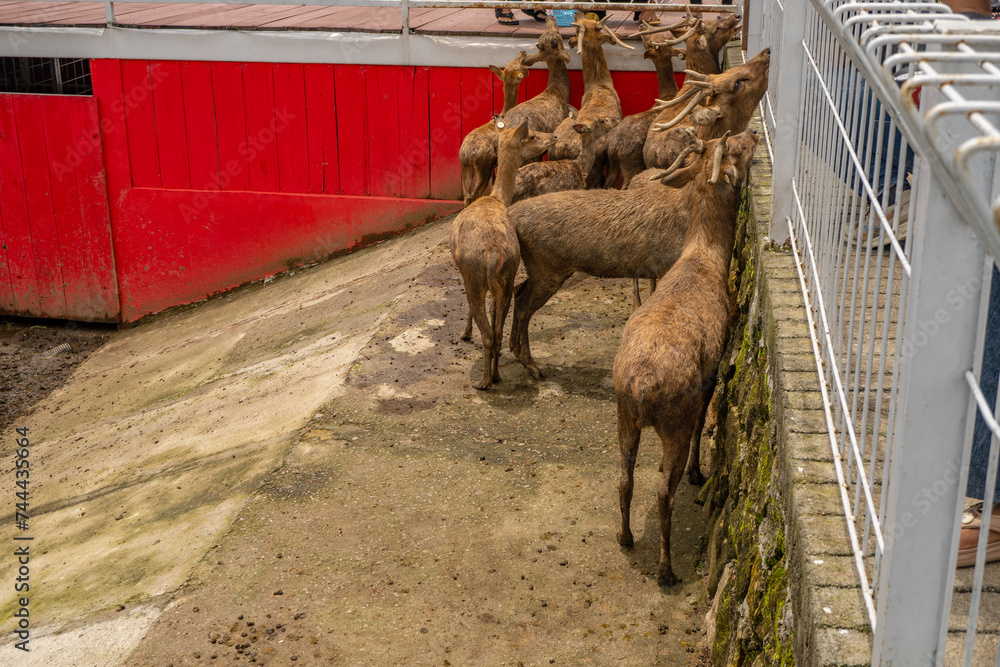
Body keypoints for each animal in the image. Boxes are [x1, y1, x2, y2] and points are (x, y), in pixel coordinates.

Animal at [451, 118, 552, 390]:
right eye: (533, 136)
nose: (554, 136)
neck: (496, 198)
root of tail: (491, 256)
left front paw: (464, 333)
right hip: (508, 275)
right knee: (497, 330)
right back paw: (497, 375)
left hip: (474, 277)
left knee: (488, 331)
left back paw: (484, 381)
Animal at [459, 51, 532, 206]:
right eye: (517, 64)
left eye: (511, 62)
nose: (522, 52)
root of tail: (468, 154)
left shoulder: (494, 165)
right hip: (483, 165)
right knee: (475, 195)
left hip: (465, 168)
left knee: (466, 196)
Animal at [613, 128, 759, 587]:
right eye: (737, 149)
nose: (753, 131)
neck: (706, 257)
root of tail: (641, 386)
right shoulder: (709, 379)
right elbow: (701, 425)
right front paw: (700, 472)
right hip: (672, 416)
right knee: (662, 492)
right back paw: (666, 569)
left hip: (623, 415)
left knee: (623, 478)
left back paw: (625, 536)